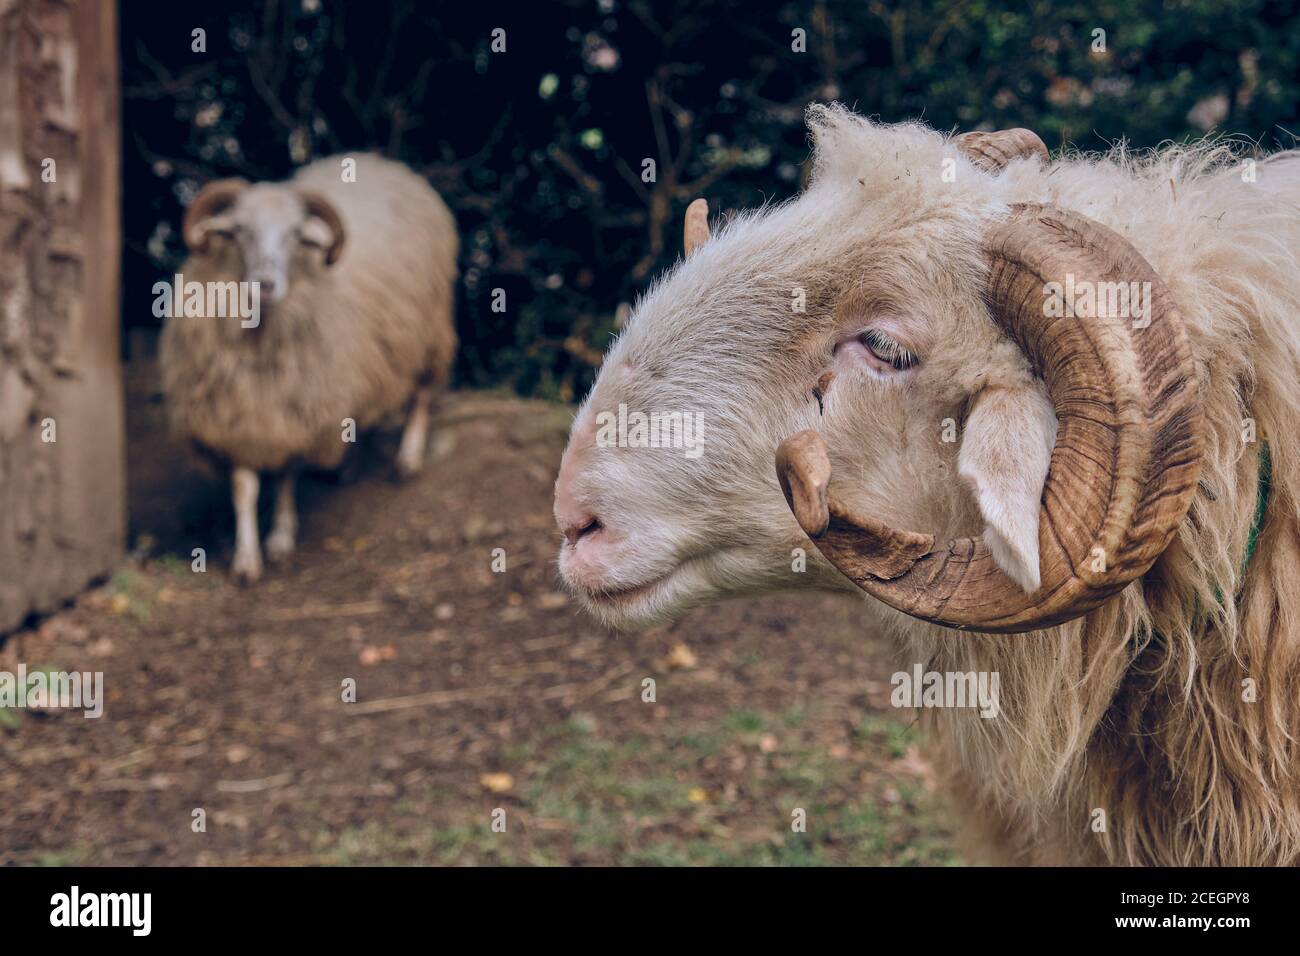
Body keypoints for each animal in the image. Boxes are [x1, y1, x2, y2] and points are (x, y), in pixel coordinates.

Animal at [160, 154, 458, 583]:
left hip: (428, 328)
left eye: (296, 234)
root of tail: (383, 162)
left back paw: (408, 459)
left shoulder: (299, 408)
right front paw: (246, 559)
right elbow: (244, 488)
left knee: (421, 394)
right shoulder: (237, 415)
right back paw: (349, 465)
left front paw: (281, 537)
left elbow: (287, 475)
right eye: (239, 230)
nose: (265, 284)